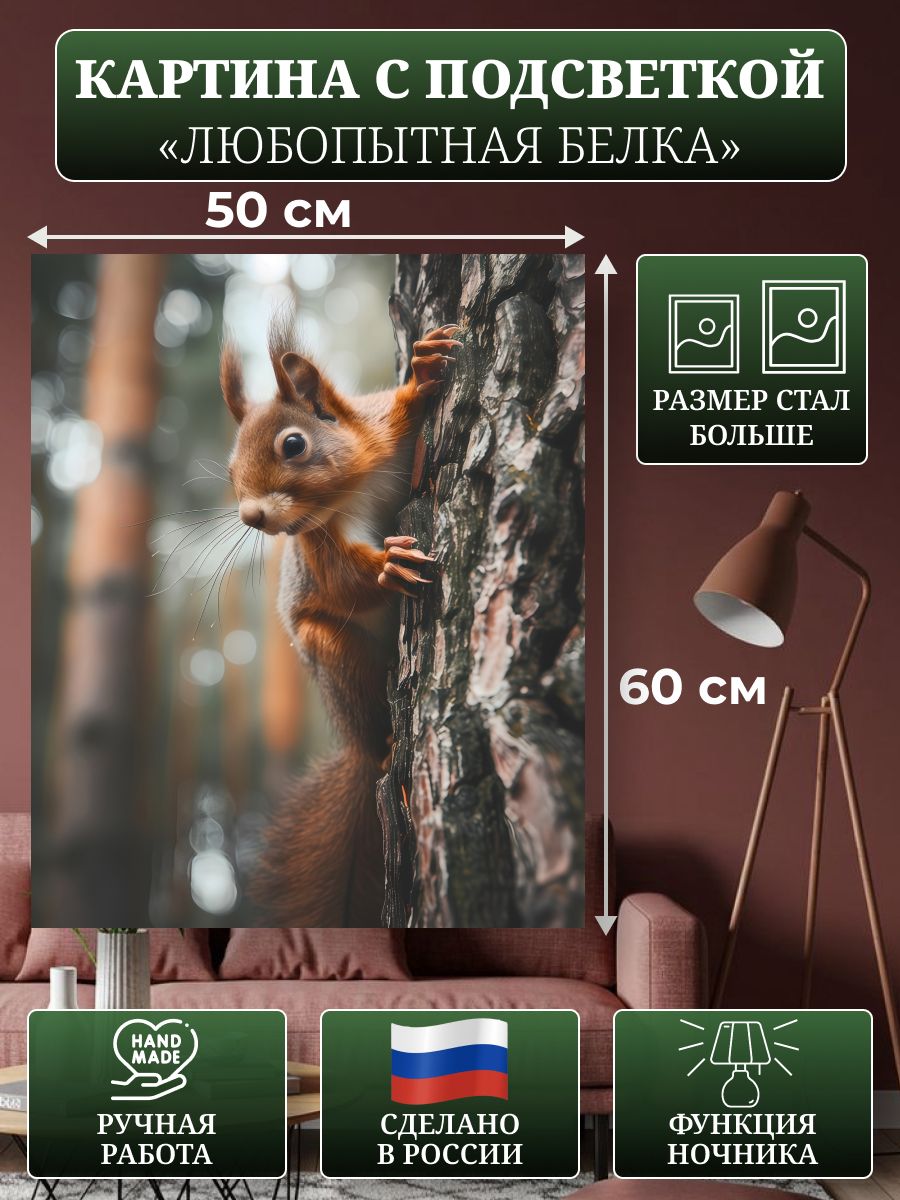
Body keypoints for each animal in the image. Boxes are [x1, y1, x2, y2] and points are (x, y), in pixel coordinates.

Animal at [220, 312, 461, 926]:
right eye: (231, 472)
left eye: (294, 444)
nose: (251, 516)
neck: (353, 485)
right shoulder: (319, 545)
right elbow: (344, 583)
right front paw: (386, 567)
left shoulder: (381, 433)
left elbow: (397, 412)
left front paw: (423, 373)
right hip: (334, 656)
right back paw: (386, 749)